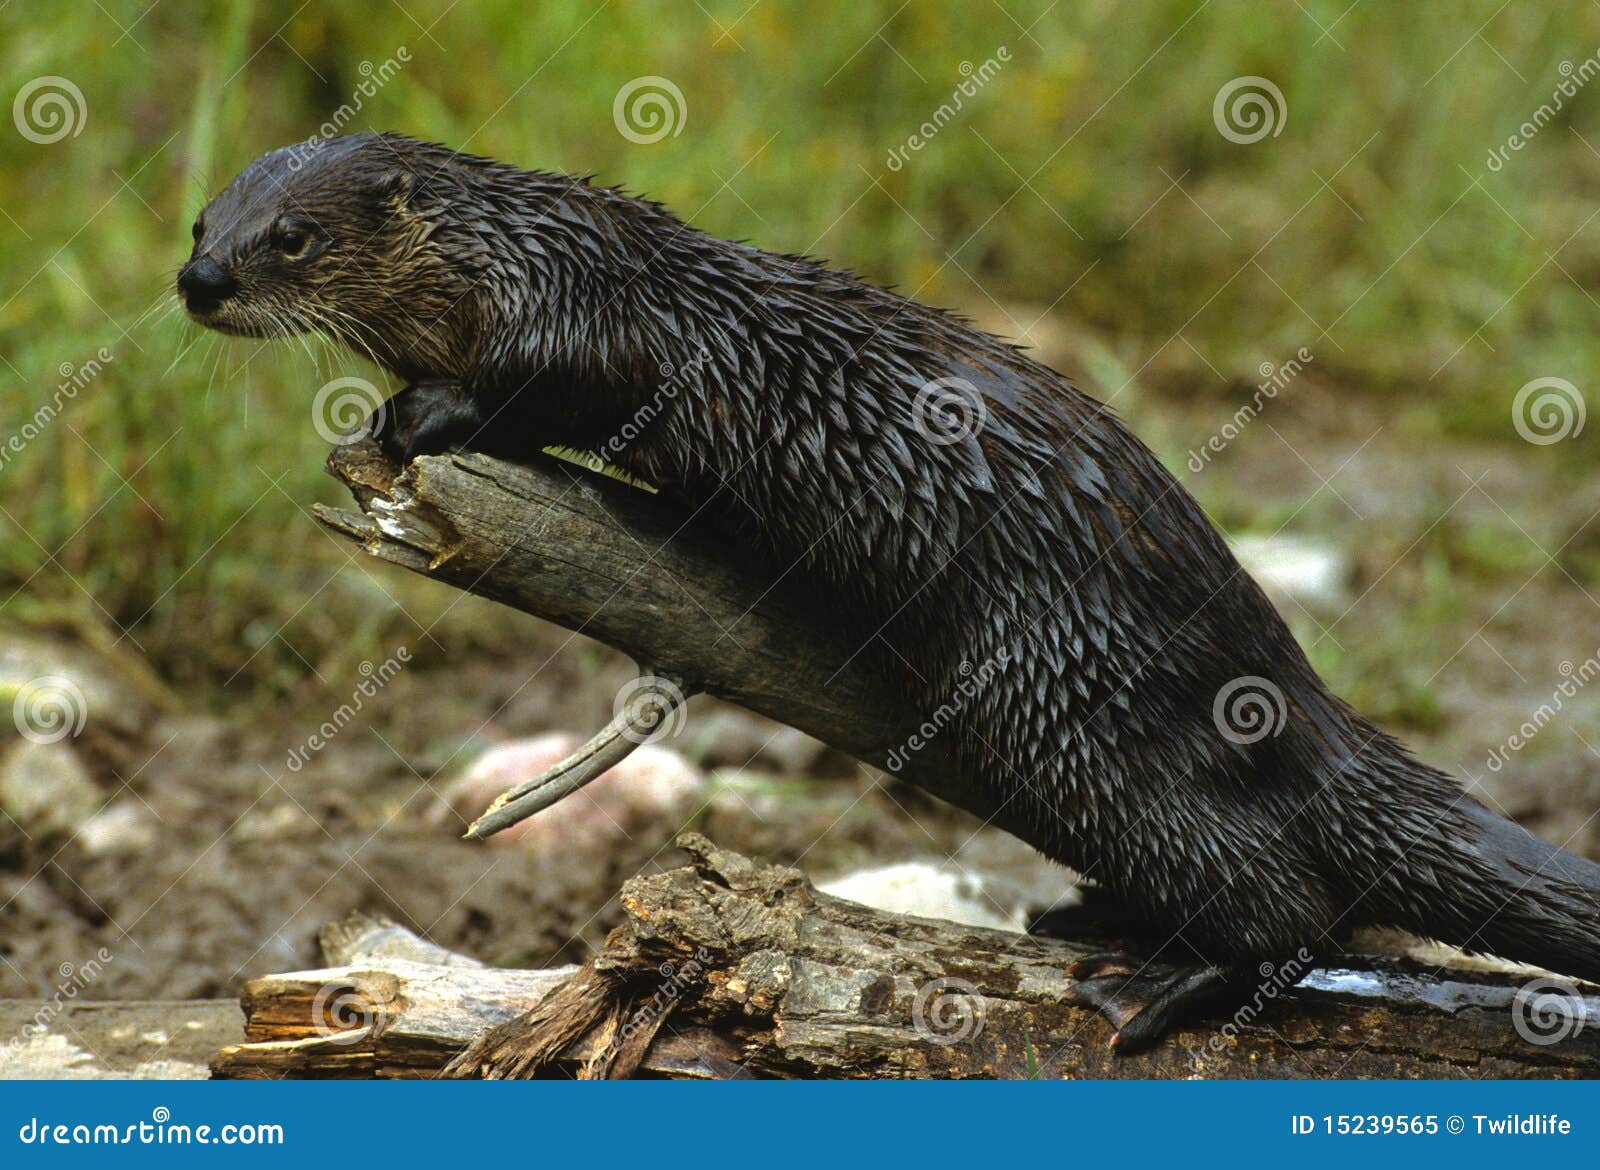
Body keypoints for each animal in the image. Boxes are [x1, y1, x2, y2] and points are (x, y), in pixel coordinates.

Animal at [179, 132, 1600, 1052]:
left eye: (290, 236)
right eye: (203, 220)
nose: (199, 282)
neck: (508, 259)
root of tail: (1288, 687)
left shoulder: (588, 319)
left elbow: (550, 391)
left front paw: (421, 413)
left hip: (1060, 698)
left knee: (1291, 912)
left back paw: (1145, 989)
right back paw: (1090, 913)